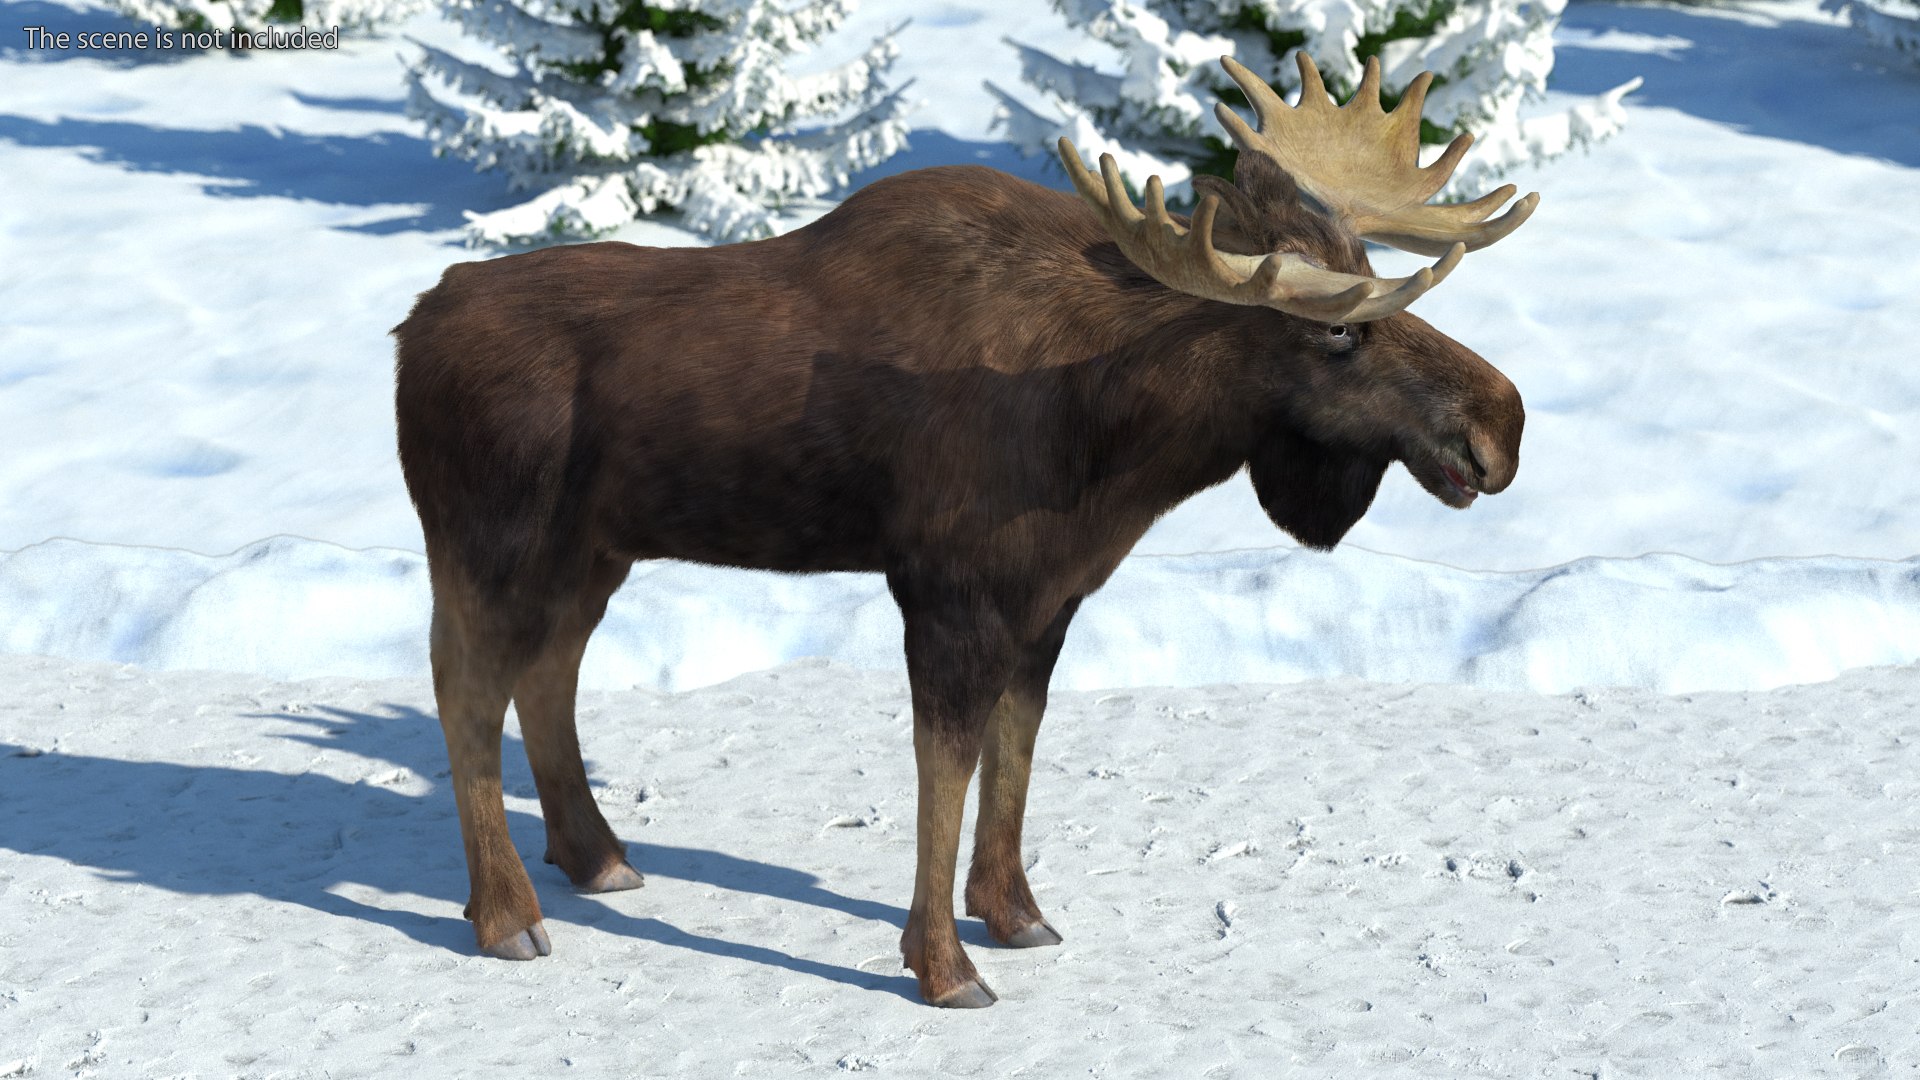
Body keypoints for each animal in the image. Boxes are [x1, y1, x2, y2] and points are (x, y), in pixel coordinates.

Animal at [393, 53, 1532, 1008]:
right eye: (1336, 326)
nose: (1503, 426)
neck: (1120, 431)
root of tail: (412, 325)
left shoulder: (1050, 595)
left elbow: (1013, 752)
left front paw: (1016, 914)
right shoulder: (949, 591)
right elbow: (942, 771)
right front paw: (943, 966)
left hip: (594, 551)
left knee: (547, 677)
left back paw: (595, 858)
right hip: (490, 543)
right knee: (464, 690)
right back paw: (505, 915)